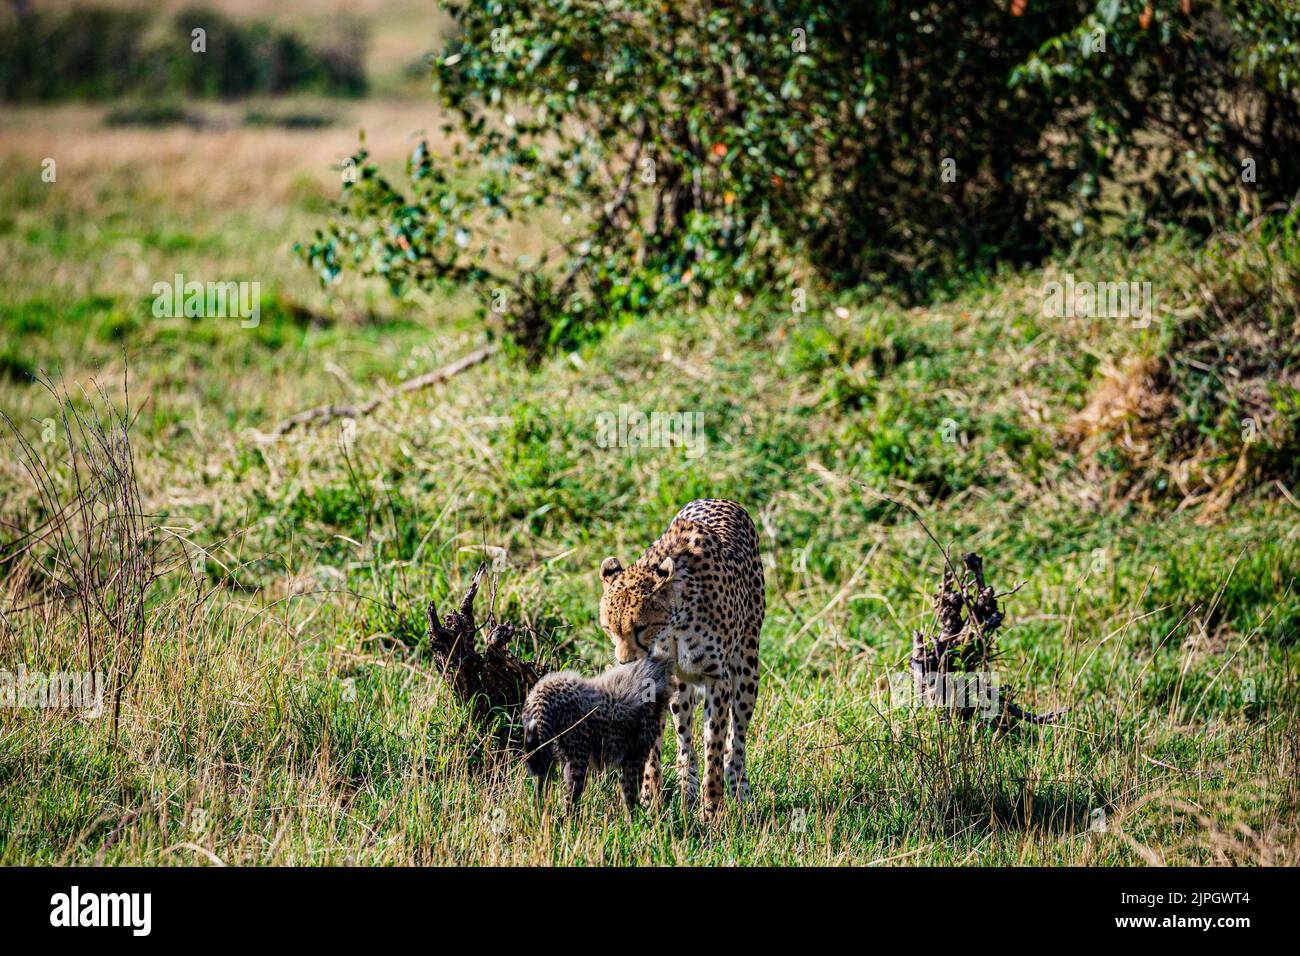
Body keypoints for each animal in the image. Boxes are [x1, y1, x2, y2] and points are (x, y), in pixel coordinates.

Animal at [522, 653, 673, 814]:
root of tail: (543, 689)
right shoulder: (635, 757)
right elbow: (630, 795)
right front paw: (637, 818)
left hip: (544, 753)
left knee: (539, 788)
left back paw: (538, 815)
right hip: (577, 760)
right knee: (568, 799)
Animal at [598, 498, 764, 820]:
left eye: (641, 627)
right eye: (609, 628)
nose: (625, 662)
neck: (676, 621)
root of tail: (722, 499)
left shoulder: (717, 679)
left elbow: (715, 746)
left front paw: (712, 809)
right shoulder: (655, 680)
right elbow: (655, 745)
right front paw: (650, 803)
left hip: (747, 668)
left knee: (737, 740)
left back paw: (740, 792)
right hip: (682, 690)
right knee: (685, 741)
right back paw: (686, 790)